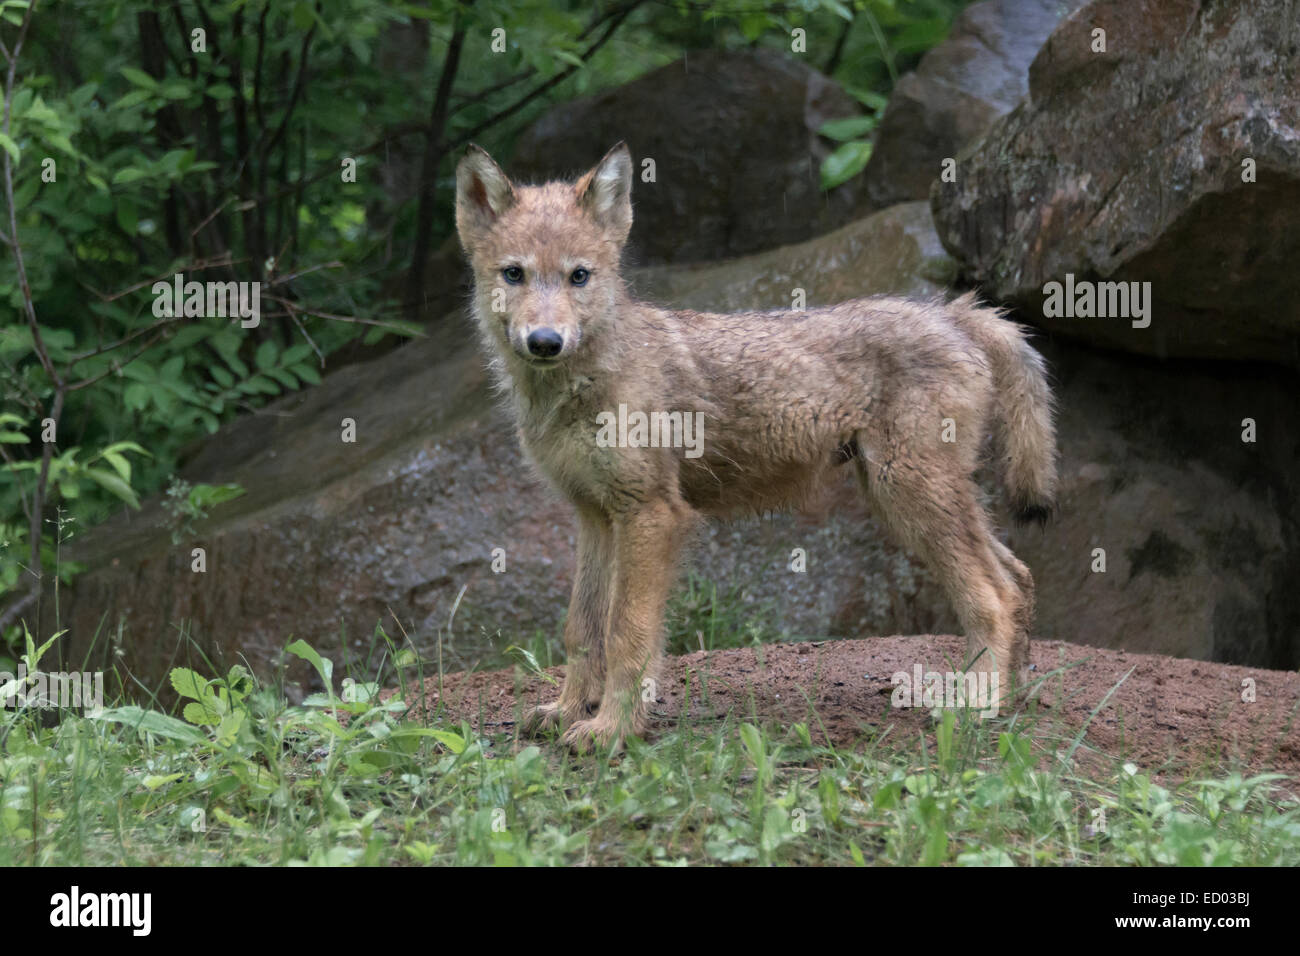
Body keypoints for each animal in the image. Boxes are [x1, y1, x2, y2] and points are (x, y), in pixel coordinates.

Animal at [454, 142, 1057, 752]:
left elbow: (628, 634)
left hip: (909, 498)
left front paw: (611, 731)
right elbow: (582, 629)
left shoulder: (652, 515)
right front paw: (567, 710)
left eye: (579, 276)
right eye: (514, 274)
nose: (545, 342)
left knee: (994, 595)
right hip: (911, 502)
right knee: (1019, 576)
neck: (577, 386)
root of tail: (952, 313)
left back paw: (978, 703)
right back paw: (1012, 694)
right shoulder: (595, 516)